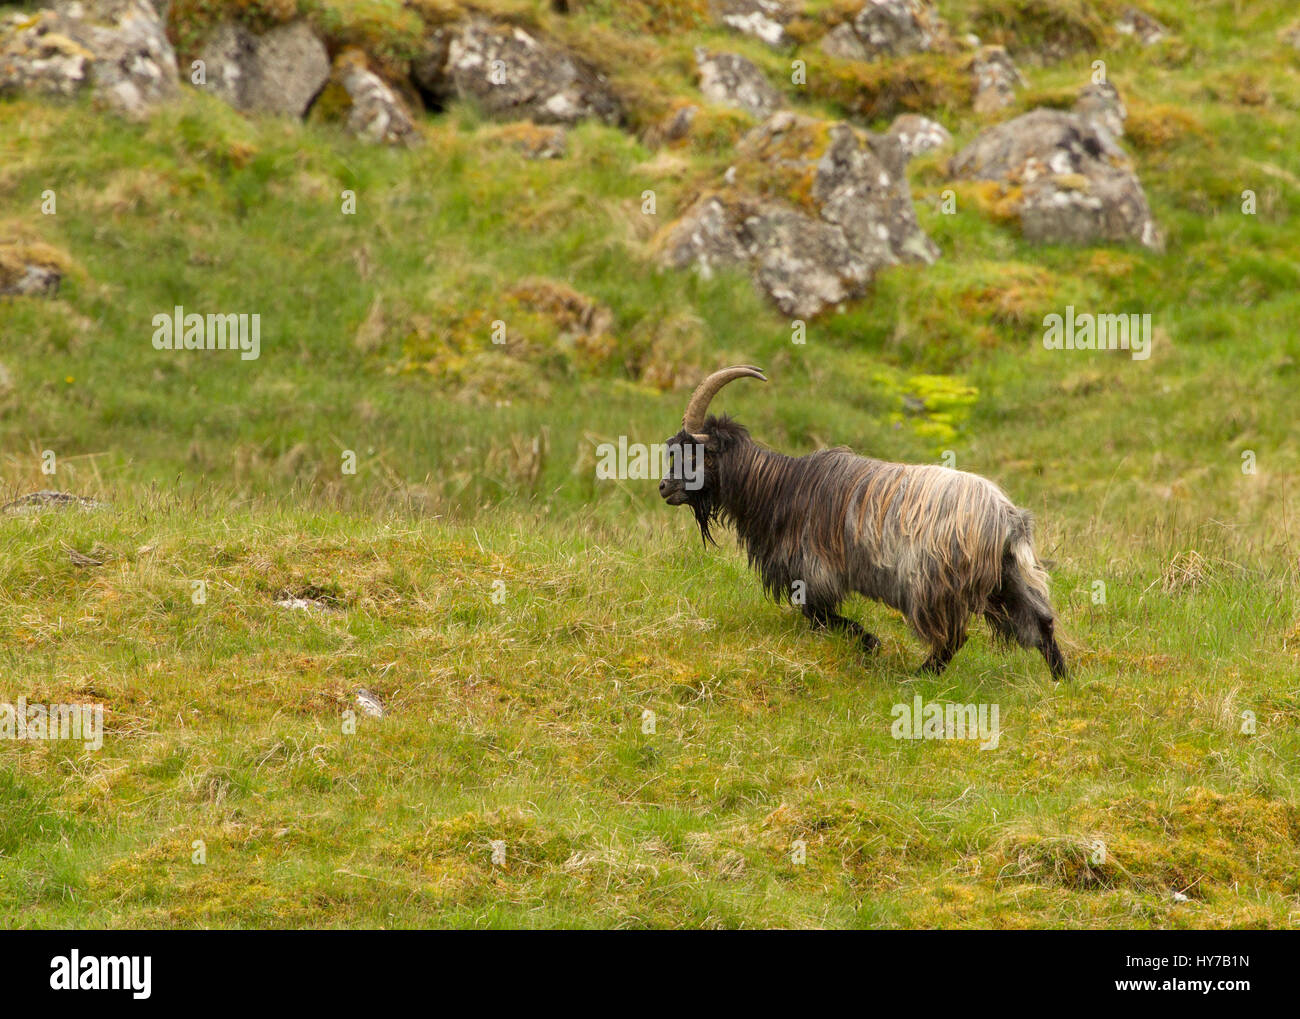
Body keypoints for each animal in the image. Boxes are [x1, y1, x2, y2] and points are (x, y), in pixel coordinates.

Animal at [659, 366, 1067, 678]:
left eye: (694, 453)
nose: (664, 487)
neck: (779, 487)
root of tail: (1008, 519)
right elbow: (818, 618)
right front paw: (867, 641)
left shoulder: (815, 570)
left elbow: (820, 616)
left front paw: (869, 642)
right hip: (1006, 579)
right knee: (1040, 623)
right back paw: (1061, 679)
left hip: (934, 585)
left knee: (953, 637)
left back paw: (921, 676)